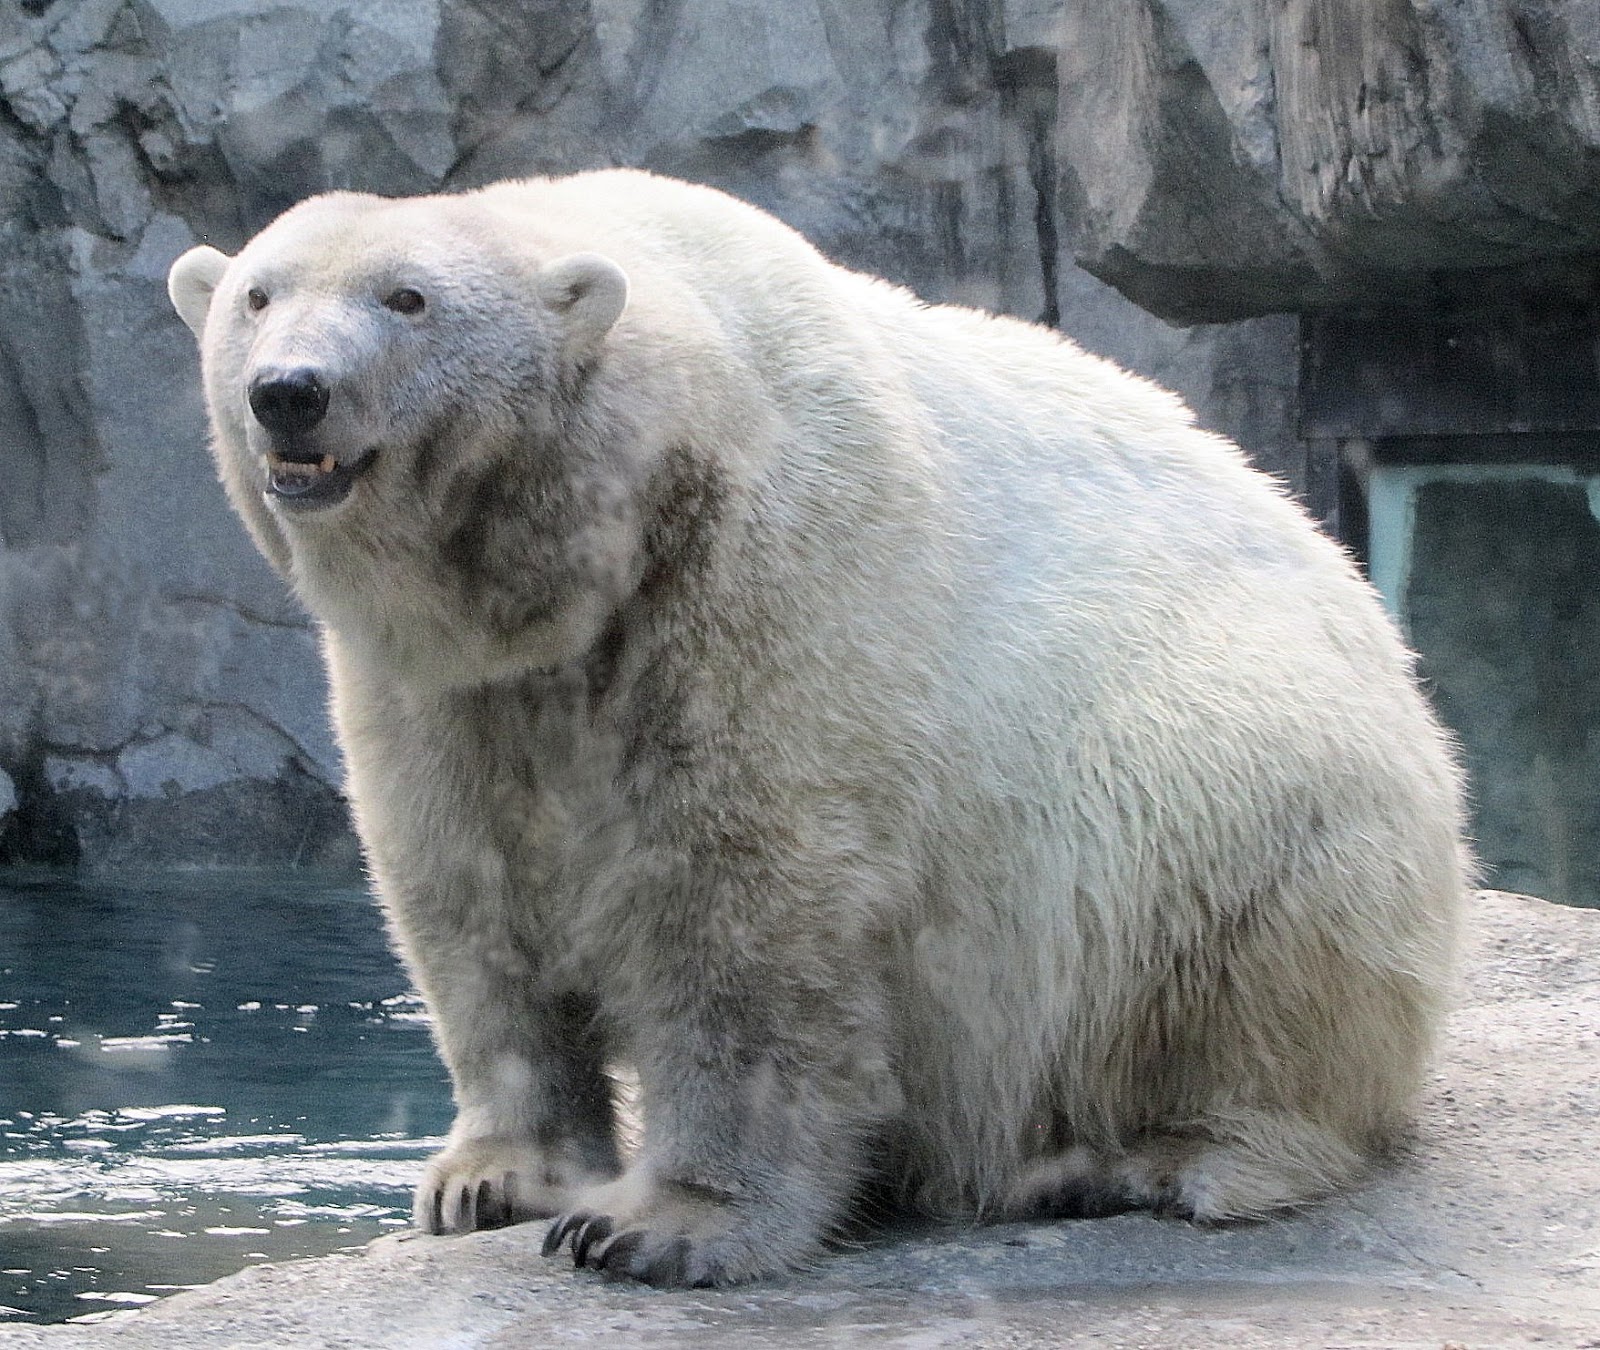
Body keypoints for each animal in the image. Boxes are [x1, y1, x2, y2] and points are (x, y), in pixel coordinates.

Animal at [167, 169, 1469, 1288]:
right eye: (257, 295)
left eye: (408, 298)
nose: (288, 391)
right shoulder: (438, 686)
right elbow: (464, 898)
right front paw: (490, 1179)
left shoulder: (763, 587)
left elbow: (745, 913)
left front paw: (657, 1226)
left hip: (1244, 771)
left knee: (1243, 949)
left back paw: (1148, 1157)